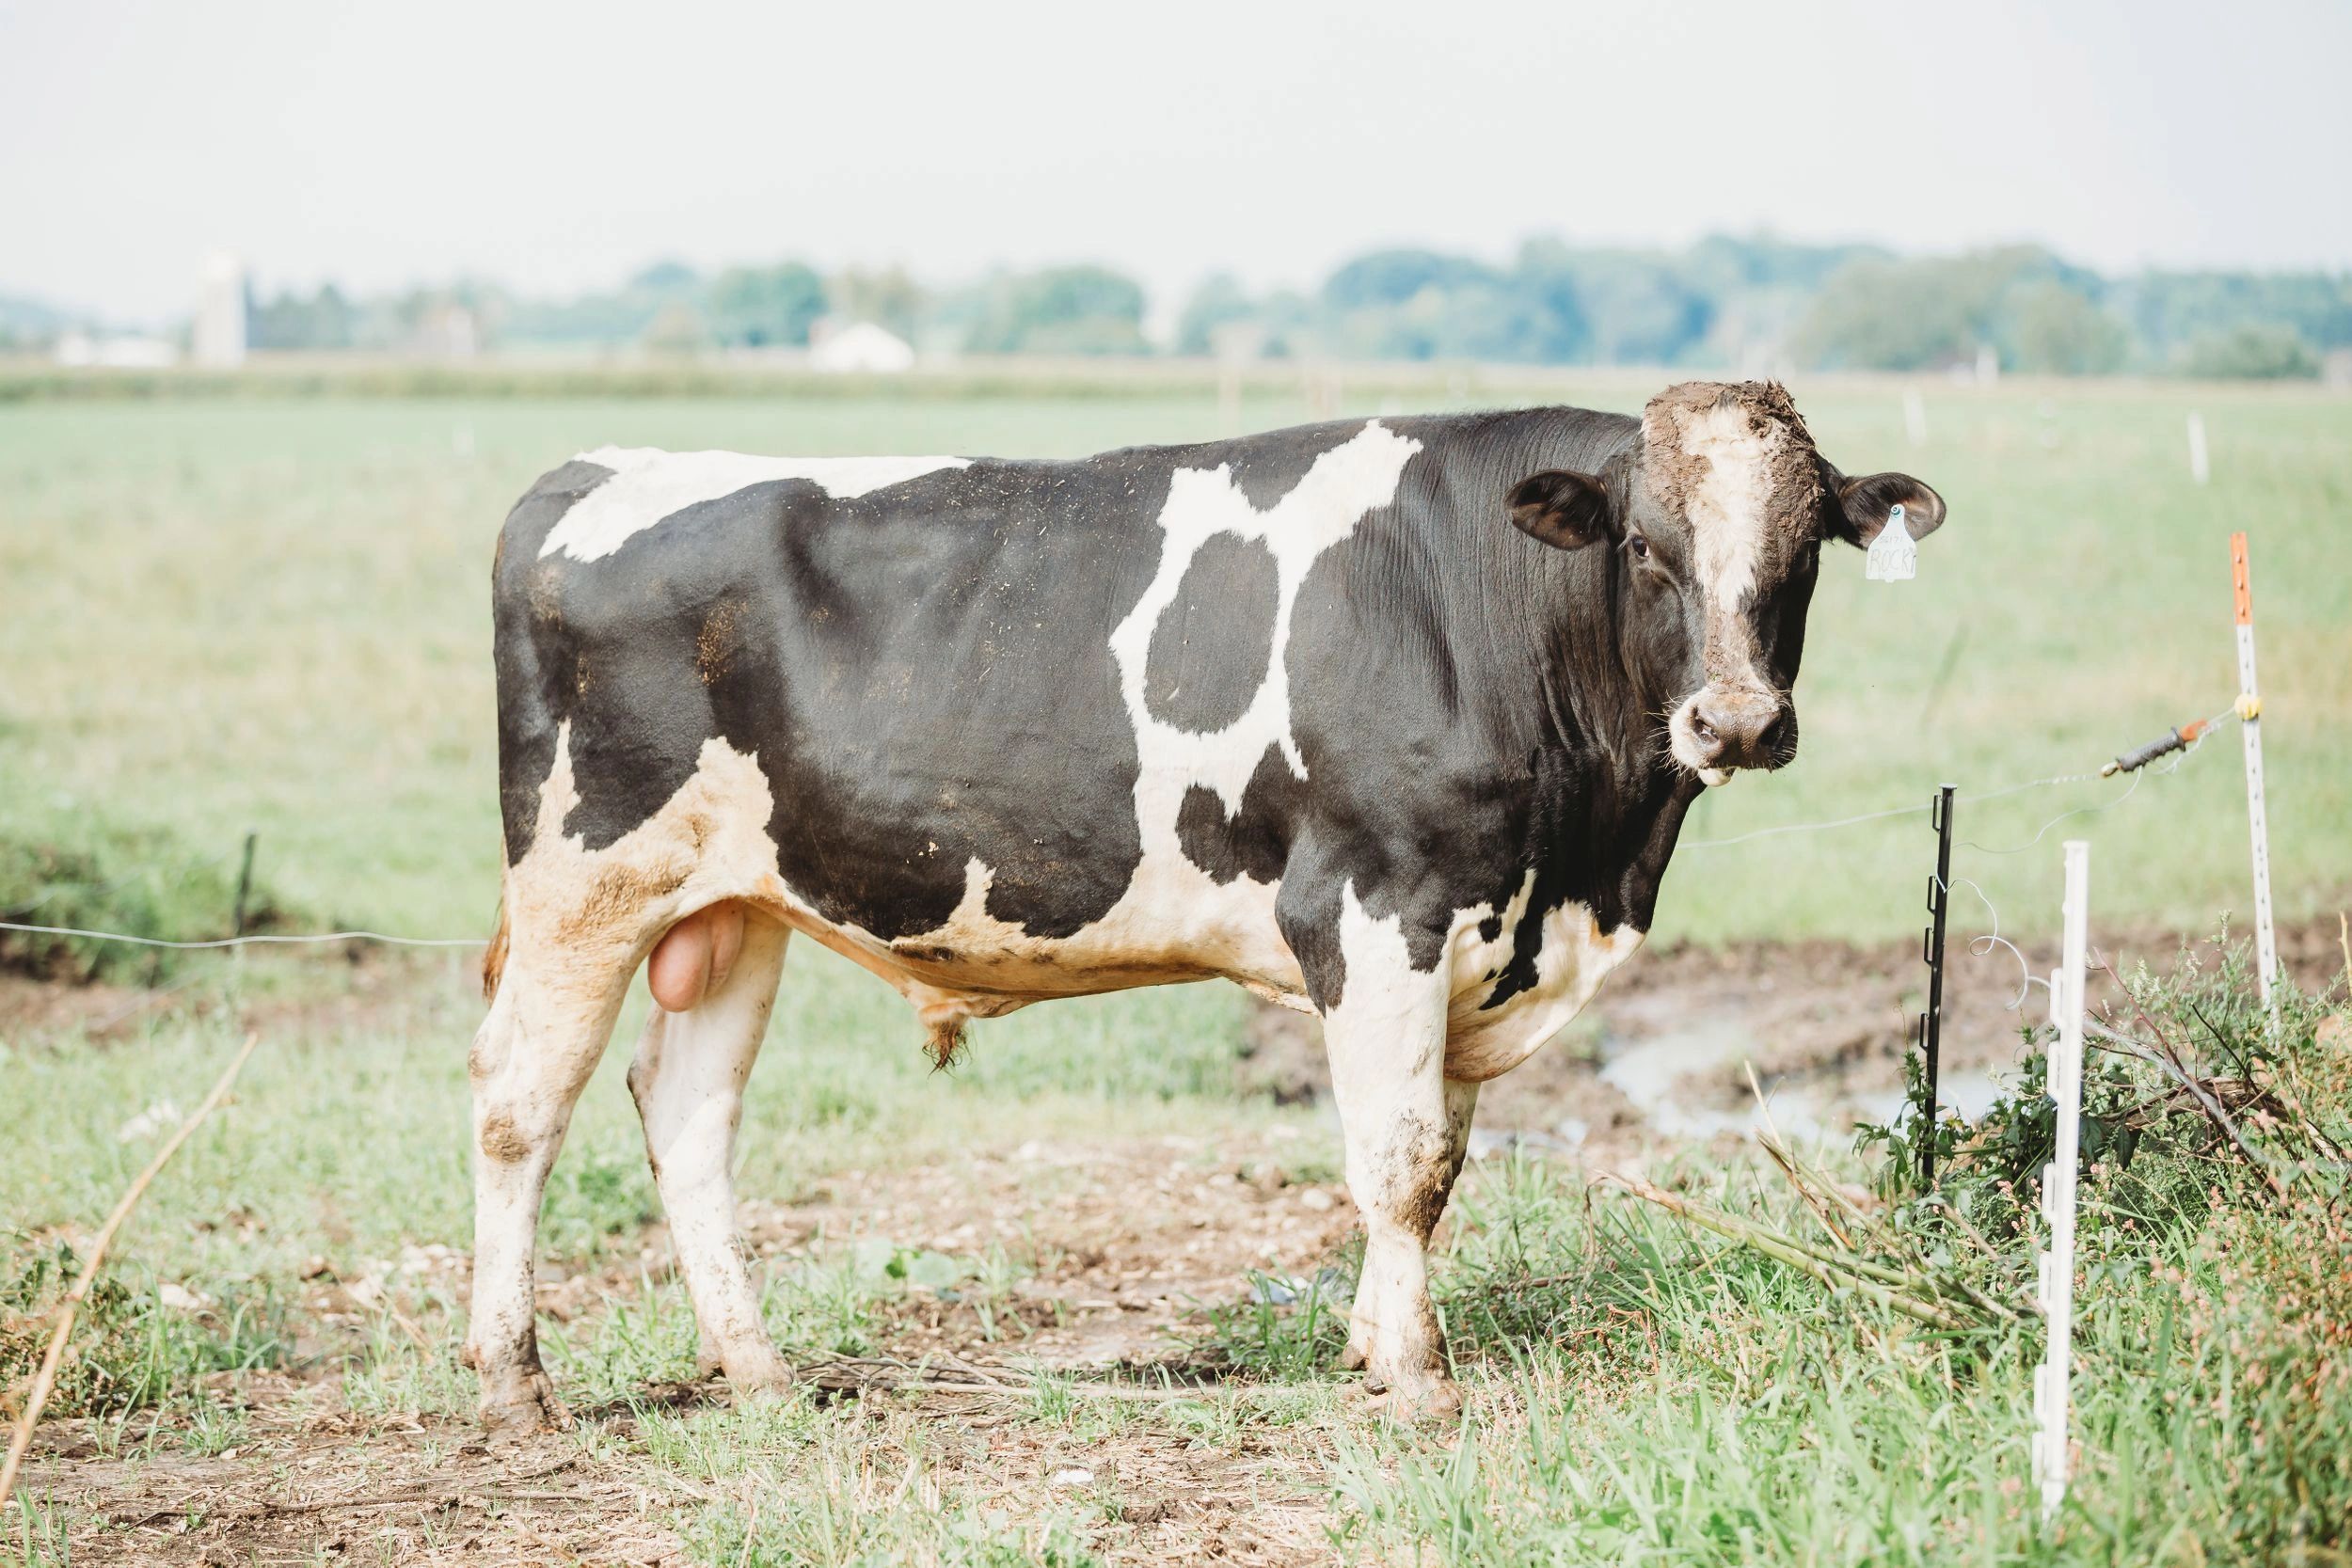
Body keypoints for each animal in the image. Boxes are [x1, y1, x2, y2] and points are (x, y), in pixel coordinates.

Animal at [463, 381, 1945, 1430]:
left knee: (687, 1114)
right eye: (1645, 545)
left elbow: (1435, 1166)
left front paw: (1372, 1350)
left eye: (1807, 549)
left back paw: (757, 1369)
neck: (1589, 857)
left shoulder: (1479, 932)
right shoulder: (1379, 904)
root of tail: (592, 471)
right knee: (519, 1104)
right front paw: (1419, 1377)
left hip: (734, 904)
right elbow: (1400, 1159)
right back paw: (513, 1380)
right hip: (585, 881)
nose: (1736, 720)